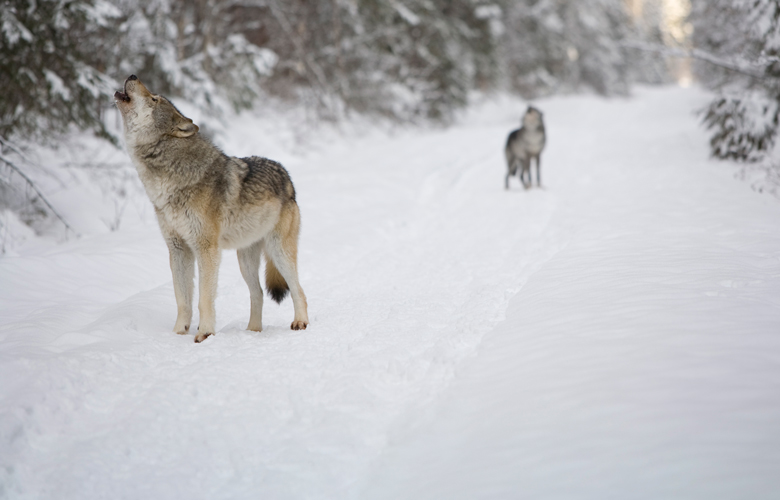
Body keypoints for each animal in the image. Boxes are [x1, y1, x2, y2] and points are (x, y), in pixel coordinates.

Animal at [114, 75, 308, 343]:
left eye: (154, 99)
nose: (132, 76)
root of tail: (286, 176)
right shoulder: (178, 249)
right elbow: (183, 300)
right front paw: (178, 333)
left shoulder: (206, 248)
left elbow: (204, 299)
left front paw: (204, 334)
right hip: (245, 260)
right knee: (257, 293)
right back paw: (252, 331)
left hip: (278, 251)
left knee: (299, 289)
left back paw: (300, 322)